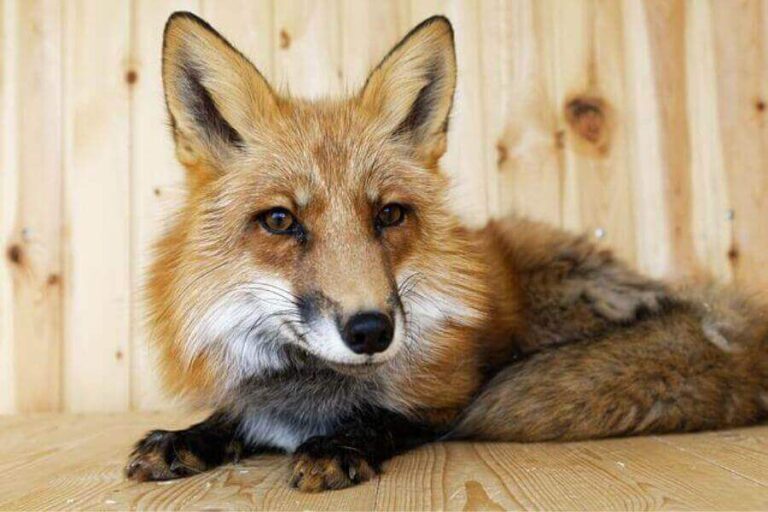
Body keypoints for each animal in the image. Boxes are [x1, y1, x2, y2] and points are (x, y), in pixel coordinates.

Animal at [125, 12, 768, 492]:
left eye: (389, 214)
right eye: (280, 221)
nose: (371, 331)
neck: (309, 391)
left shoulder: (448, 396)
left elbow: (387, 416)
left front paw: (339, 442)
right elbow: (232, 415)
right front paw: (187, 437)